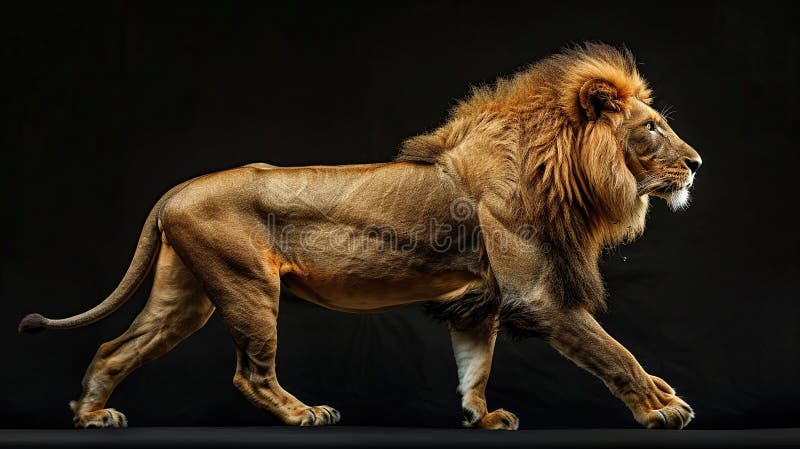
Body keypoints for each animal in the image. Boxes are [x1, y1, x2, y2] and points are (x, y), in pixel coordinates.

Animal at [19, 43, 701, 430]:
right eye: (651, 128)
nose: (696, 164)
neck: (563, 169)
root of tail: (175, 192)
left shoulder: (477, 303)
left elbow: (474, 366)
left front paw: (480, 417)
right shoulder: (538, 296)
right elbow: (613, 352)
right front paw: (660, 405)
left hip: (185, 295)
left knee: (116, 348)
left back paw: (91, 415)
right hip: (246, 287)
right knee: (250, 374)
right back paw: (304, 414)